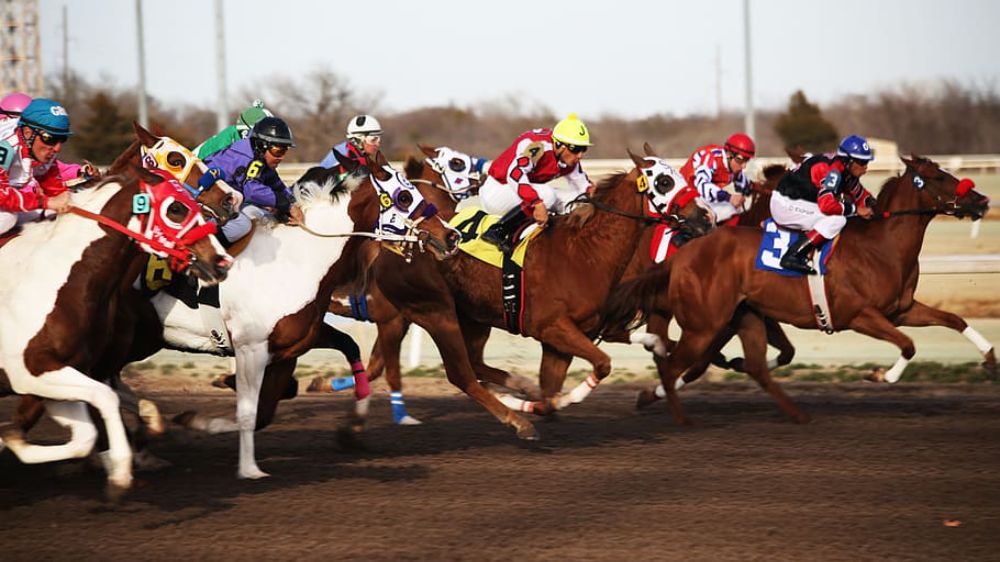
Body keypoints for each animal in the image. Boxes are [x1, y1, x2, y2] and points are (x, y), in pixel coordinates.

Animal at [0, 170, 231, 500]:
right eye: (175, 209)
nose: (222, 261)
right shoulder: (28, 373)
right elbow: (105, 400)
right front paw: (120, 469)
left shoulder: (59, 377)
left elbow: (85, 433)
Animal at [599, 155, 992, 425]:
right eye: (940, 177)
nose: (983, 201)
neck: (881, 247)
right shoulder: (859, 315)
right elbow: (908, 345)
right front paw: (882, 375)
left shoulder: (900, 310)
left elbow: (953, 320)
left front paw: (990, 357)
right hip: (703, 318)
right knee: (671, 353)